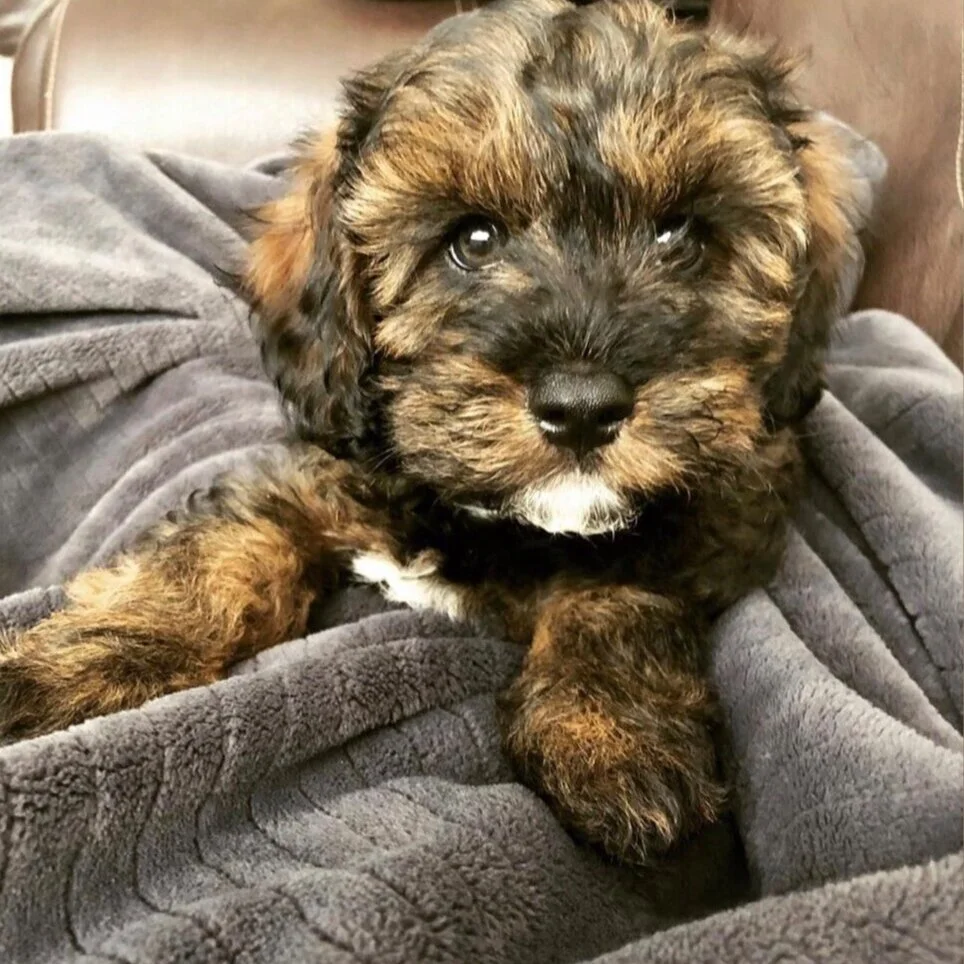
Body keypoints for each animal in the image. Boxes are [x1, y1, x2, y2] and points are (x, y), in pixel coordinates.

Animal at [0, 0, 867, 867]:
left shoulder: (721, 509)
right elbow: (208, 560)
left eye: (678, 235)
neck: (491, 518)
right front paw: (77, 660)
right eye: (472, 240)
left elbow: (622, 592)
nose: (584, 406)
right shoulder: (311, 476)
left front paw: (610, 731)